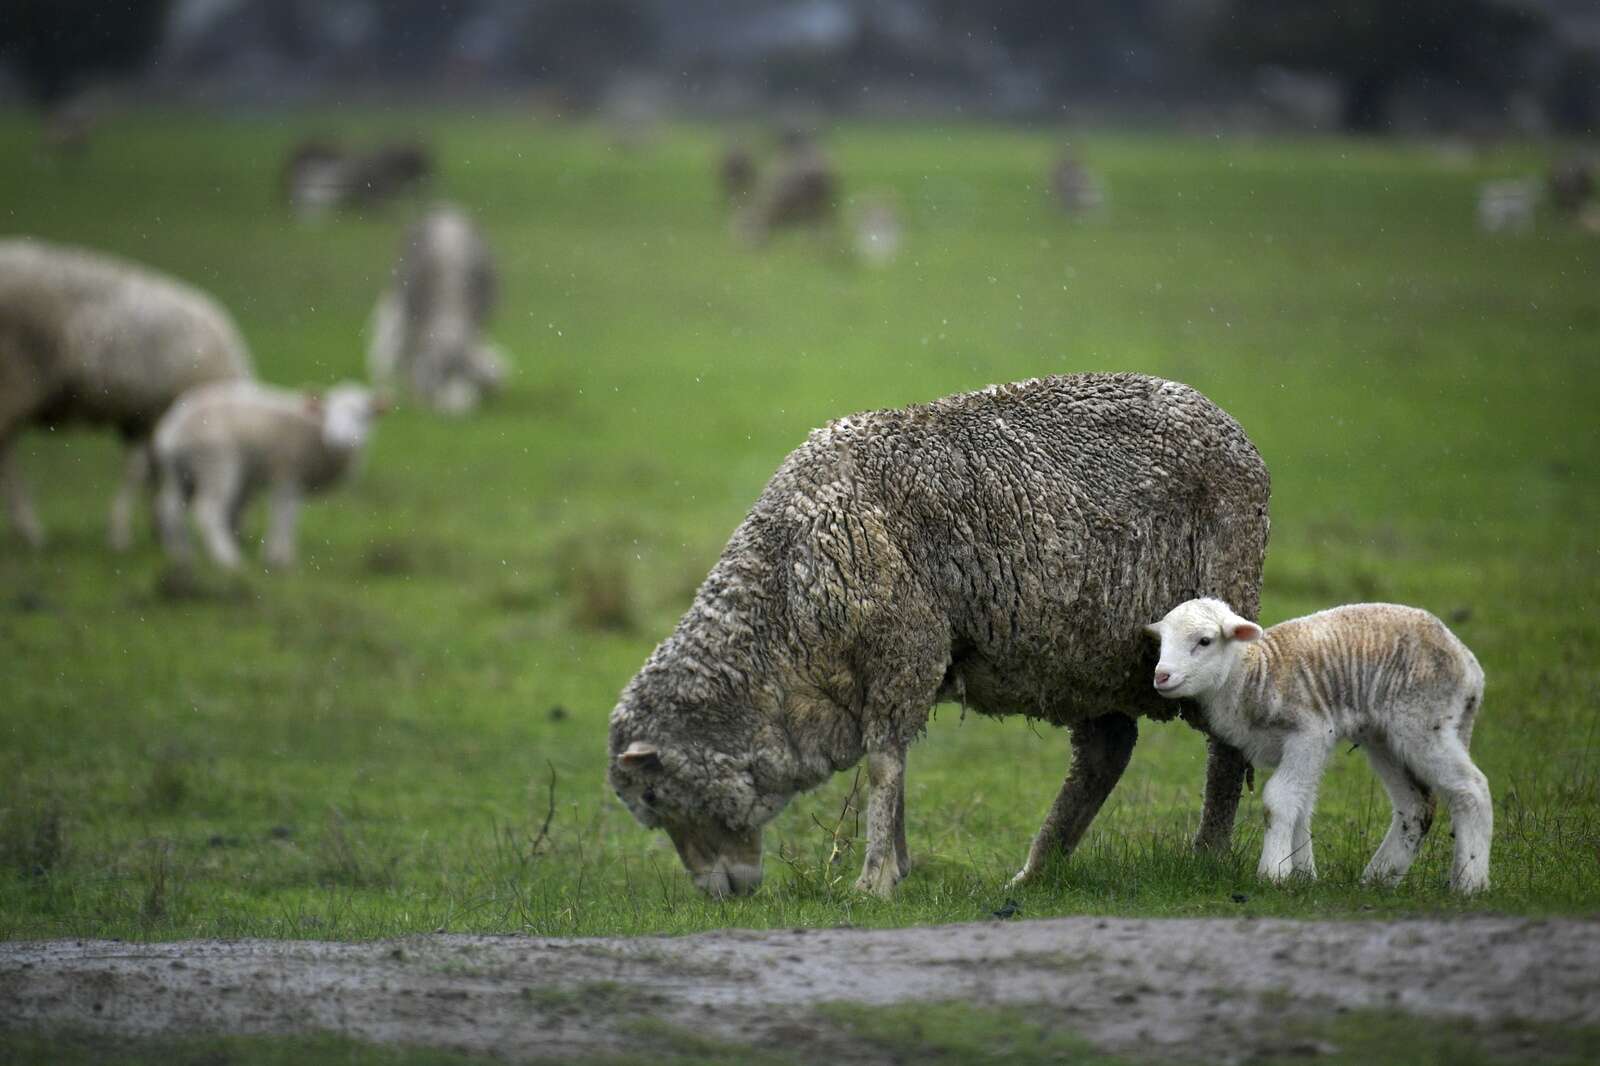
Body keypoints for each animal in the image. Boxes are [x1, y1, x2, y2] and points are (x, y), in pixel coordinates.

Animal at [0, 238, 254, 550]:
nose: (239, 533)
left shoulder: (138, 418)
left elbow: (148, 471)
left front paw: (155, 527)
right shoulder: (153, 415)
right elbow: (140, 472)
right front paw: (122, 535)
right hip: (13, 382)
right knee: (8, 458)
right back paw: (30, 529)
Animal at [152, 380, 382, 570]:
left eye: (363, 415)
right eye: (329, 413)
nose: (338, 440)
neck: (316, 434)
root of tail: (172, 431)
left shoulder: (289, 478)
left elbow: (287, 515)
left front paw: (278, 554)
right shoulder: (287, 473)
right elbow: (285, 514)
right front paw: (280, 558)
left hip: (179, 474)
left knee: (170, 508)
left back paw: (181, 556)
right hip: (217, 465)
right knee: (207, 511)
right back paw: (228, 559)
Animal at [609, 373, 1271, 899]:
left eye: (657, 801)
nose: (721, 895)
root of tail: (1231, 427)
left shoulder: (906, 650)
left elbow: (883, 766)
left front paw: (874, 879)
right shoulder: (895, 671)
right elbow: (895, 763)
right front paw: (896, 868)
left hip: (1213, 610)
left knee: (1221, 743)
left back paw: (1206, 855)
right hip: (1089, 659)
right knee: (1105, 751)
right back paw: (1036, 872)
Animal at [1145, 598, 1490, 893]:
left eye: (1204, 641)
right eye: (1162, 642)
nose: (1162, 676)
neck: (1254, 673)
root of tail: (1470, 666)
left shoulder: (1310, 733)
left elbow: (1278, 799)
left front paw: (1274, 872)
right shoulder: (1312, 743)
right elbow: (1301, 804)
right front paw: (1303, 874)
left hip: (1424, 720)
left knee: (1472, 789)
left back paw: (1470, 883)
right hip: (1386, 737)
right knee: (1417, 805)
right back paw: (1379, 877)